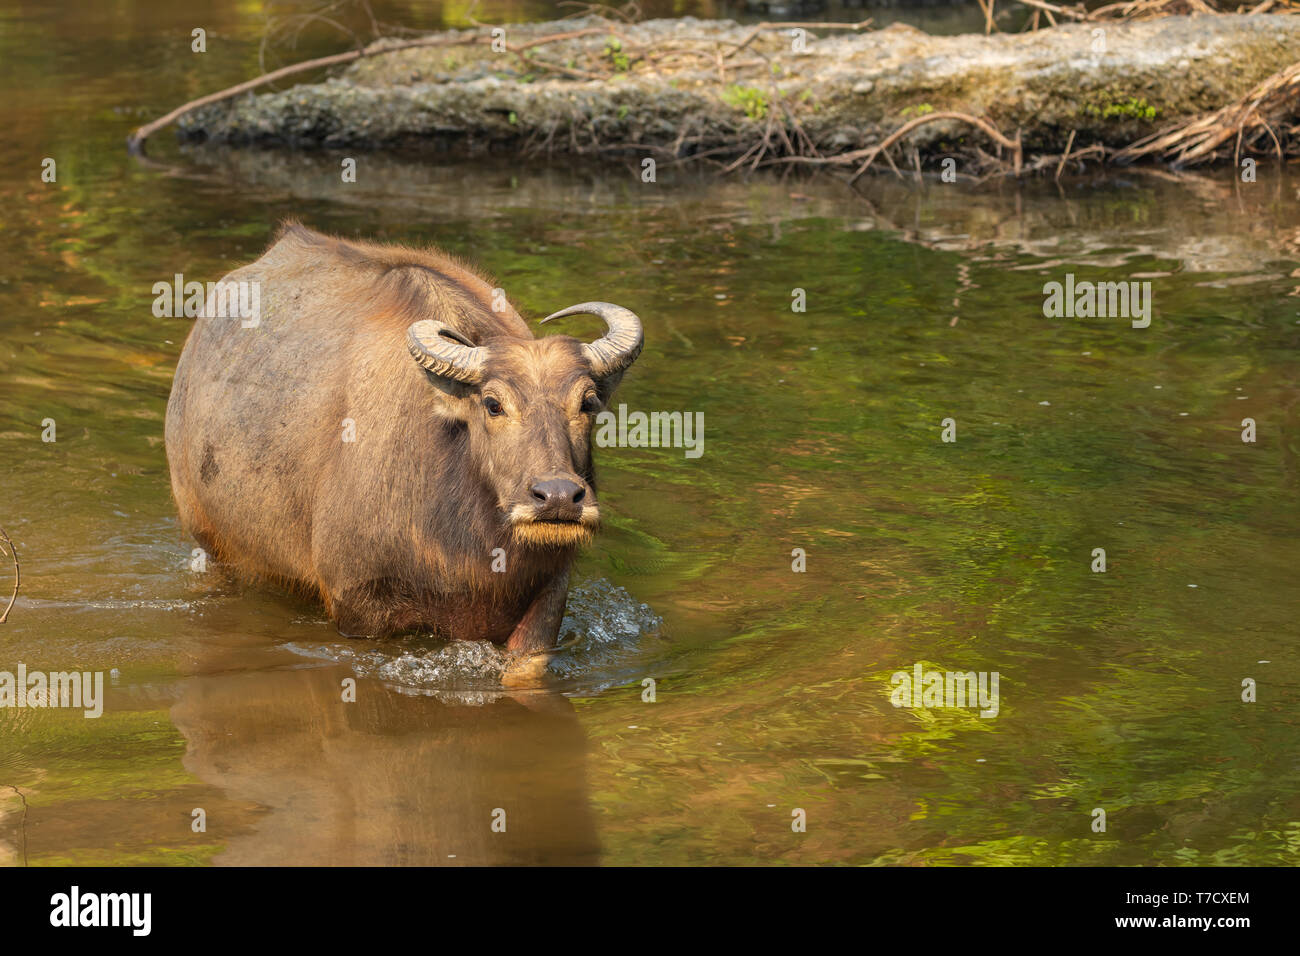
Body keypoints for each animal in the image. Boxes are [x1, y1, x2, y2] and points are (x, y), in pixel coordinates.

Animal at [165, 223, 642, 666]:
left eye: (588, 402)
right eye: (493, 404)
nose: (558, 497)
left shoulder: (548, 600)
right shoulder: (358, 605)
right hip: (210, 538)